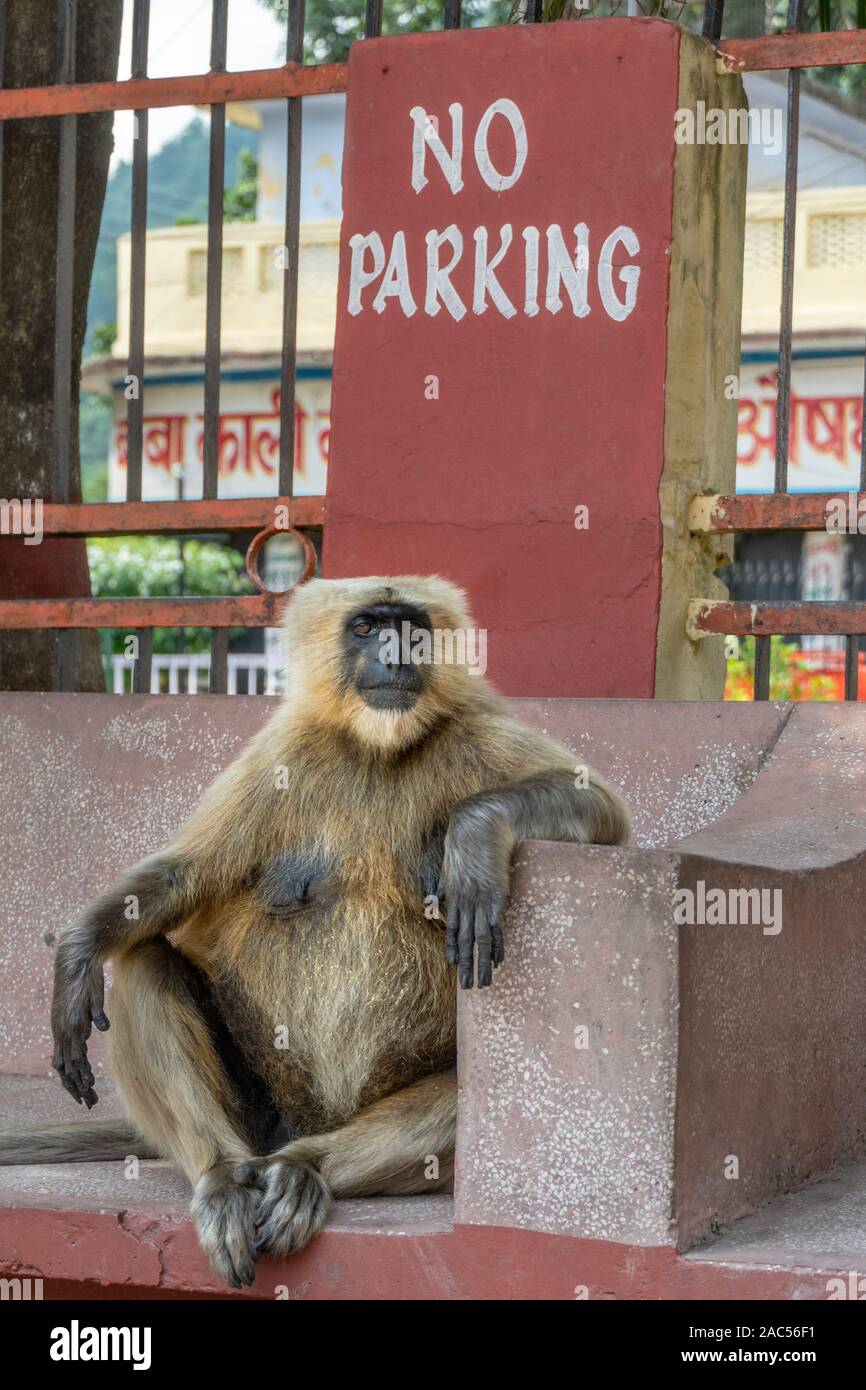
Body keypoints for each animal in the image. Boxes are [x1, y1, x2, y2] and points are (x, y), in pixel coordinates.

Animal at [0, 575, 629, 1288]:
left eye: (410, 626)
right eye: (367, 627)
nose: (397, 652)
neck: (377, 748)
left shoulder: (474, 726)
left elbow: (599, 806)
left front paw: (472, 838)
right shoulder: (284, 748)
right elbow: (181, 877)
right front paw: (76, 958)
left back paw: (303, 1169)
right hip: (259, 1115)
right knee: (140, 962)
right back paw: (224, 1177)